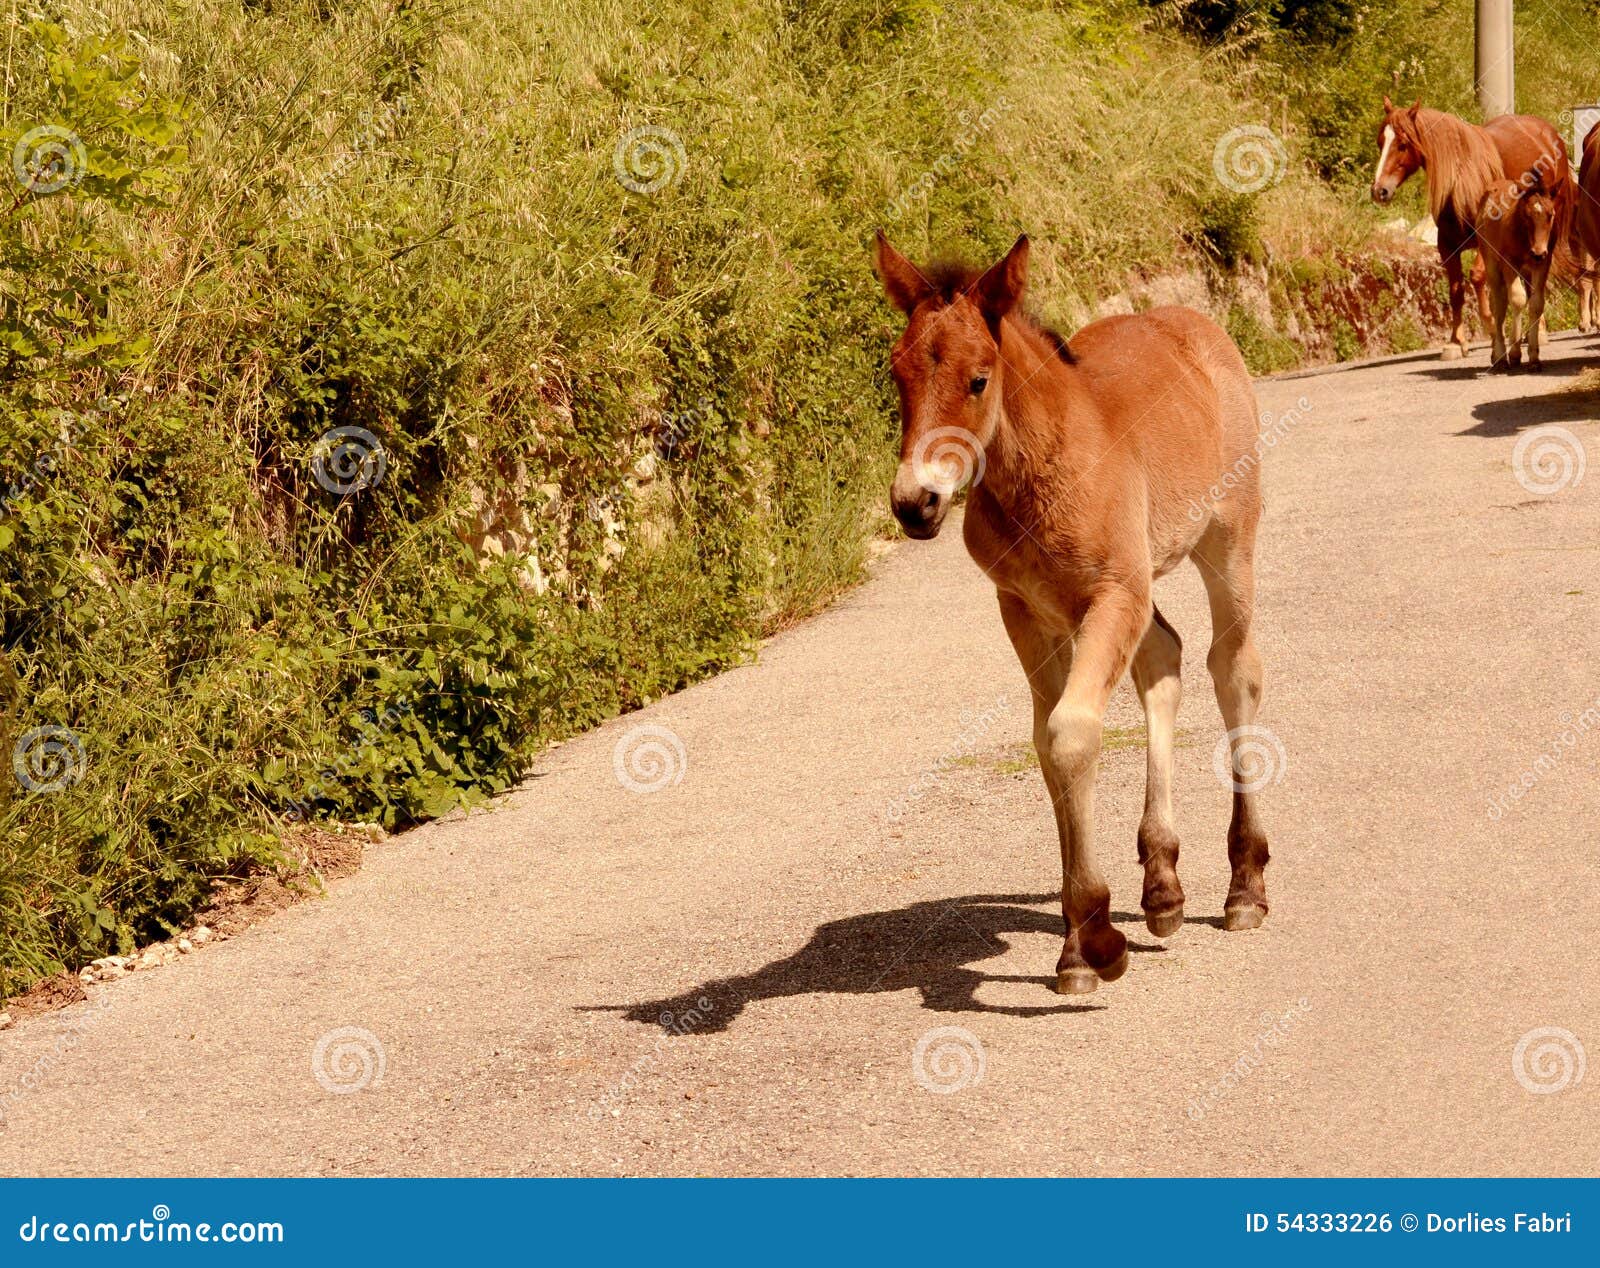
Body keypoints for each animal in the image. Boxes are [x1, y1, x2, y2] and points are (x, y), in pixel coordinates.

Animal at [874, 231, 1271, 995]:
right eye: (896, 373)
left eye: (978, 379)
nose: (916, 504)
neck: (1041, 466)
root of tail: (1194, 325)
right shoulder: (1026, 609)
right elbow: (1047, 747)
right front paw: (1077, 946)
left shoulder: (1111, 595)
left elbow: (1070, 735)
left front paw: (1097, 936)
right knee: (1165, 658)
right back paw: (1163, 887)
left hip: (1227, 542)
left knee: (1234, 669)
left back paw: (1246, 884)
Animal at [1477, 181, 1558, 372]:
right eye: (1527, 216)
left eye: (1550, 215)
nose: (1537, 252)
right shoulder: (1509, 262)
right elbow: (1517, 300)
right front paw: (1514, 353)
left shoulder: (1543, 263)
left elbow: (1536, 304)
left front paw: (1534, 358)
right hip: (1491, 263)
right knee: (1498, 304)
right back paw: (1500, 357)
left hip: (1527, 271)